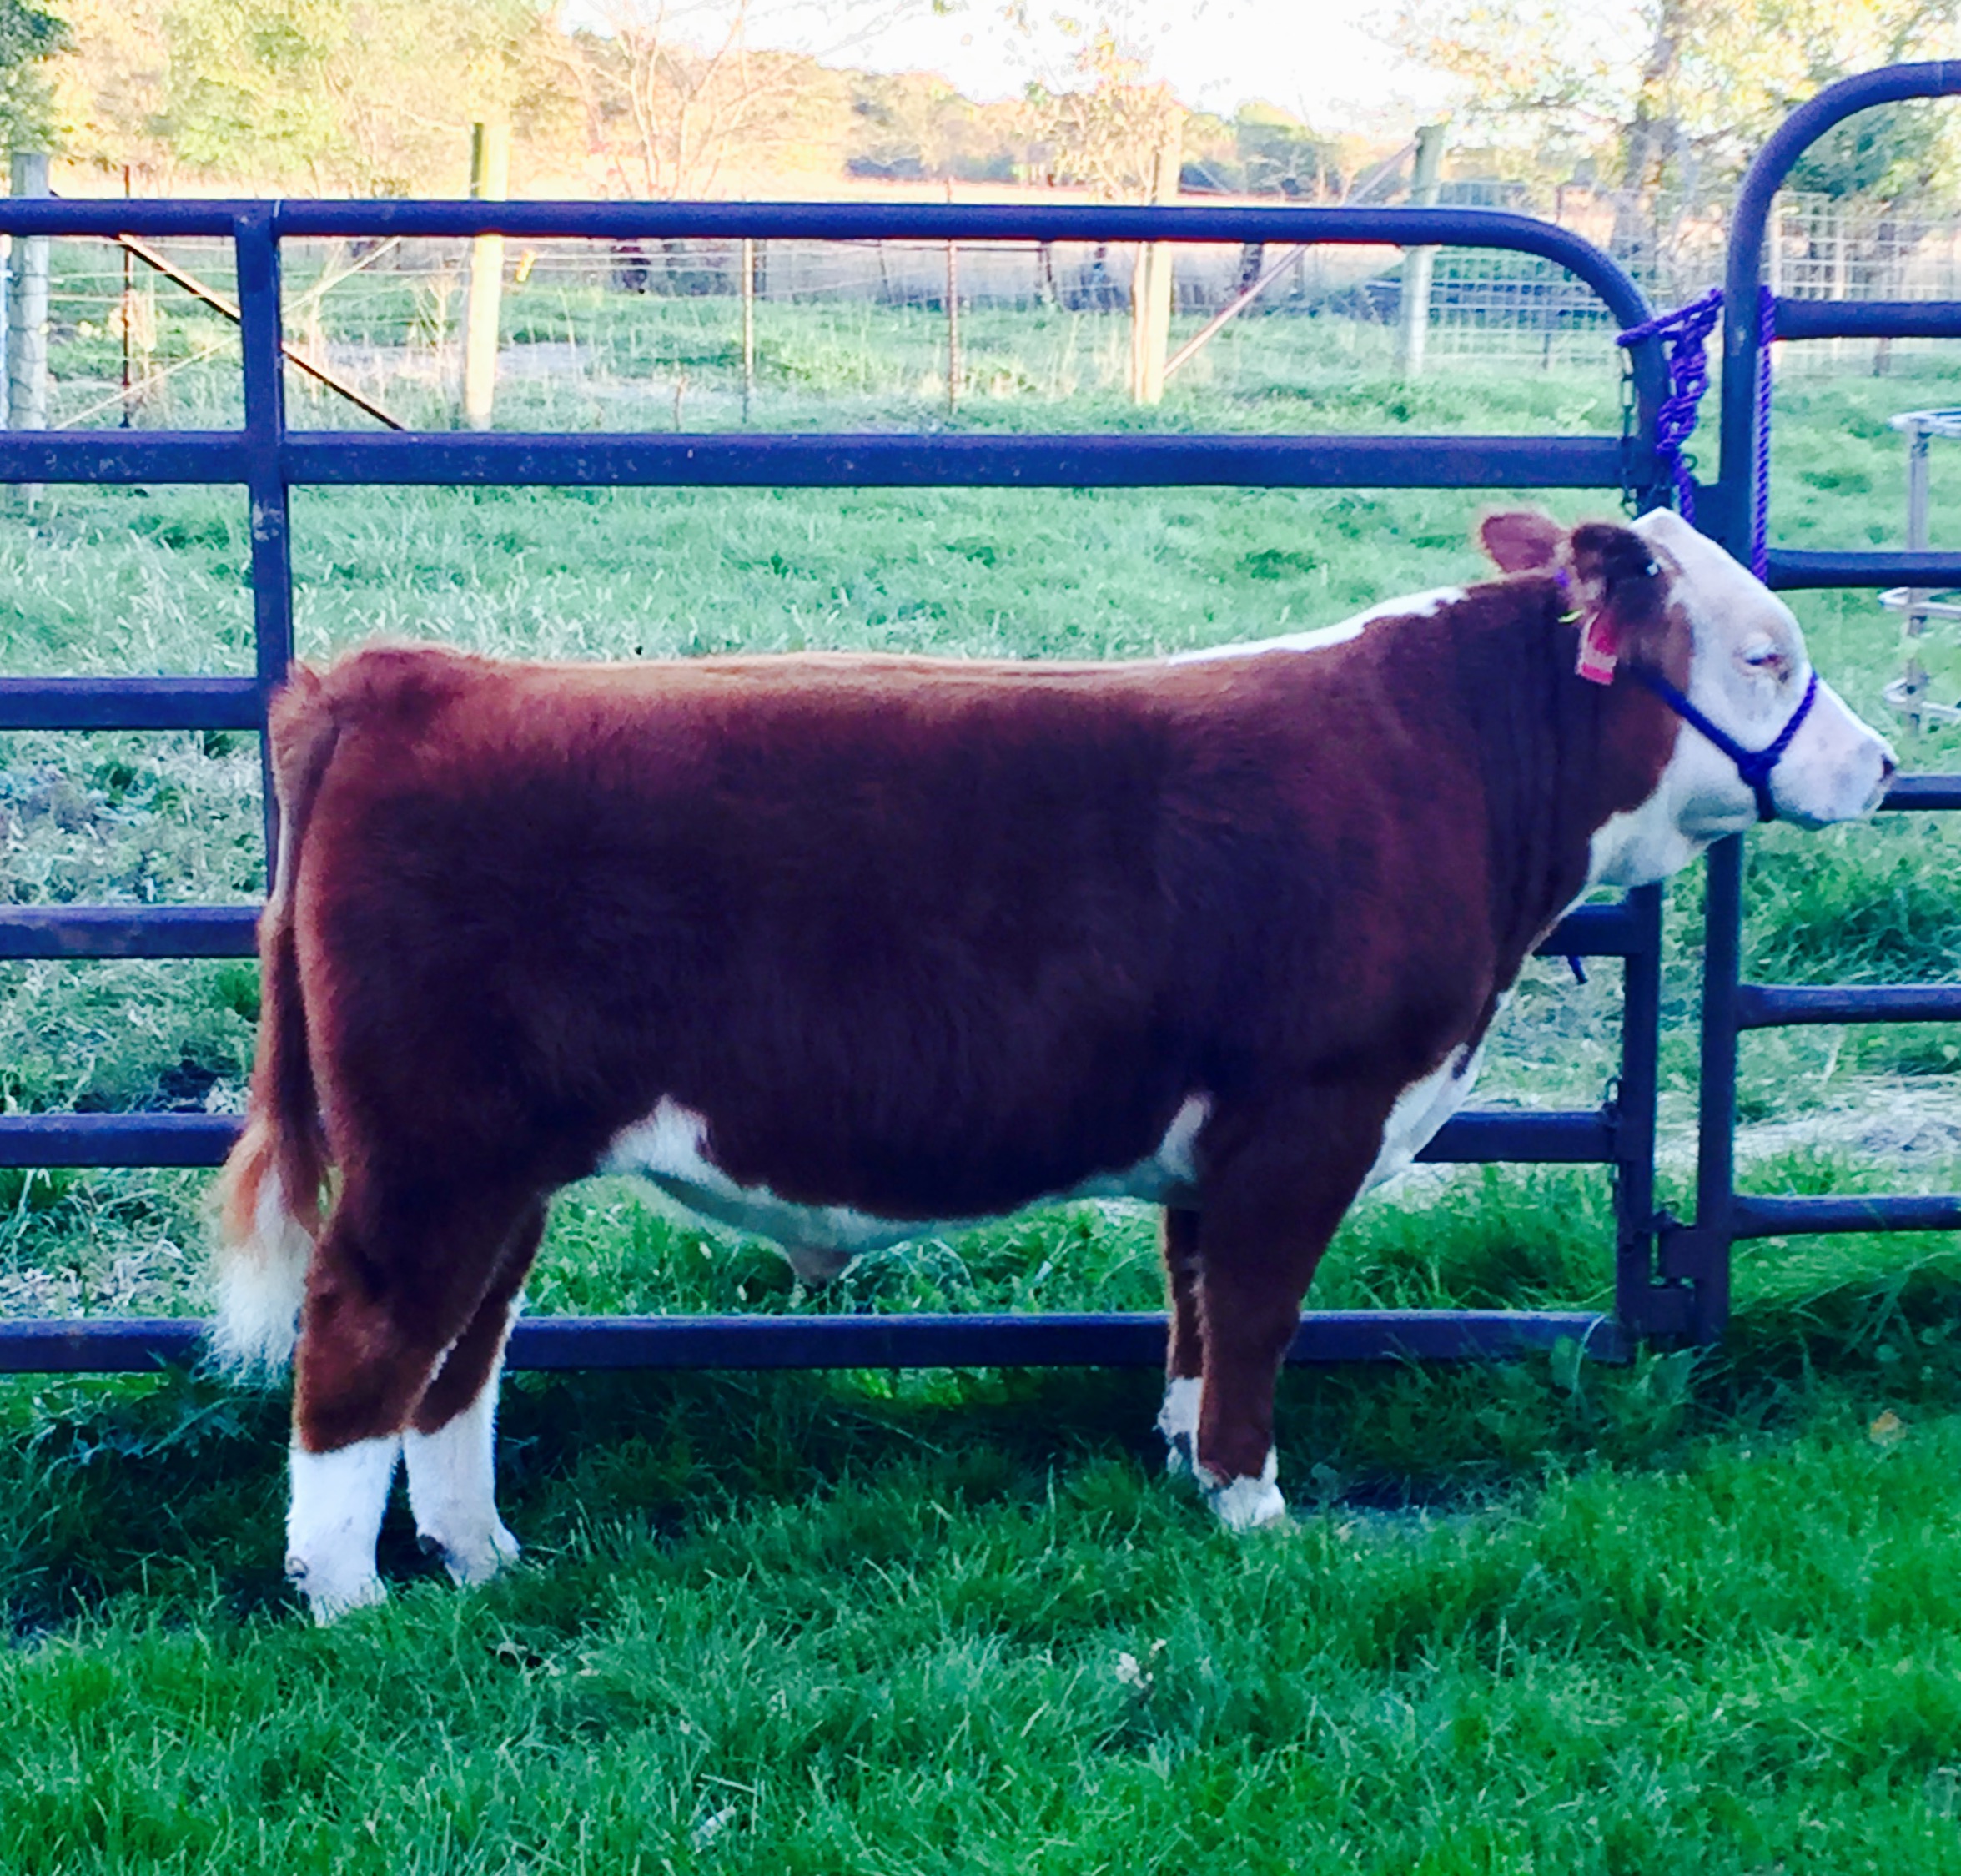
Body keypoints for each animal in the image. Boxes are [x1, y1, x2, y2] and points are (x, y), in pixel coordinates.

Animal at [212, 508, 1894, 1621]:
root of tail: (412, 677)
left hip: (504, 1161)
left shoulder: (1218, 1137)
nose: (1878, 764)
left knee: (464, 1357)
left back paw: (483, 1560)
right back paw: (350, 1600)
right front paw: (1257, 1510)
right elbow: (1262, 1315)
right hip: (435, 1146)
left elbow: (1195, 1305)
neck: (1458, 776)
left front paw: (1183, 1467)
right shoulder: (1312, 1108)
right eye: (1764, 652)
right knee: (365, 1335)